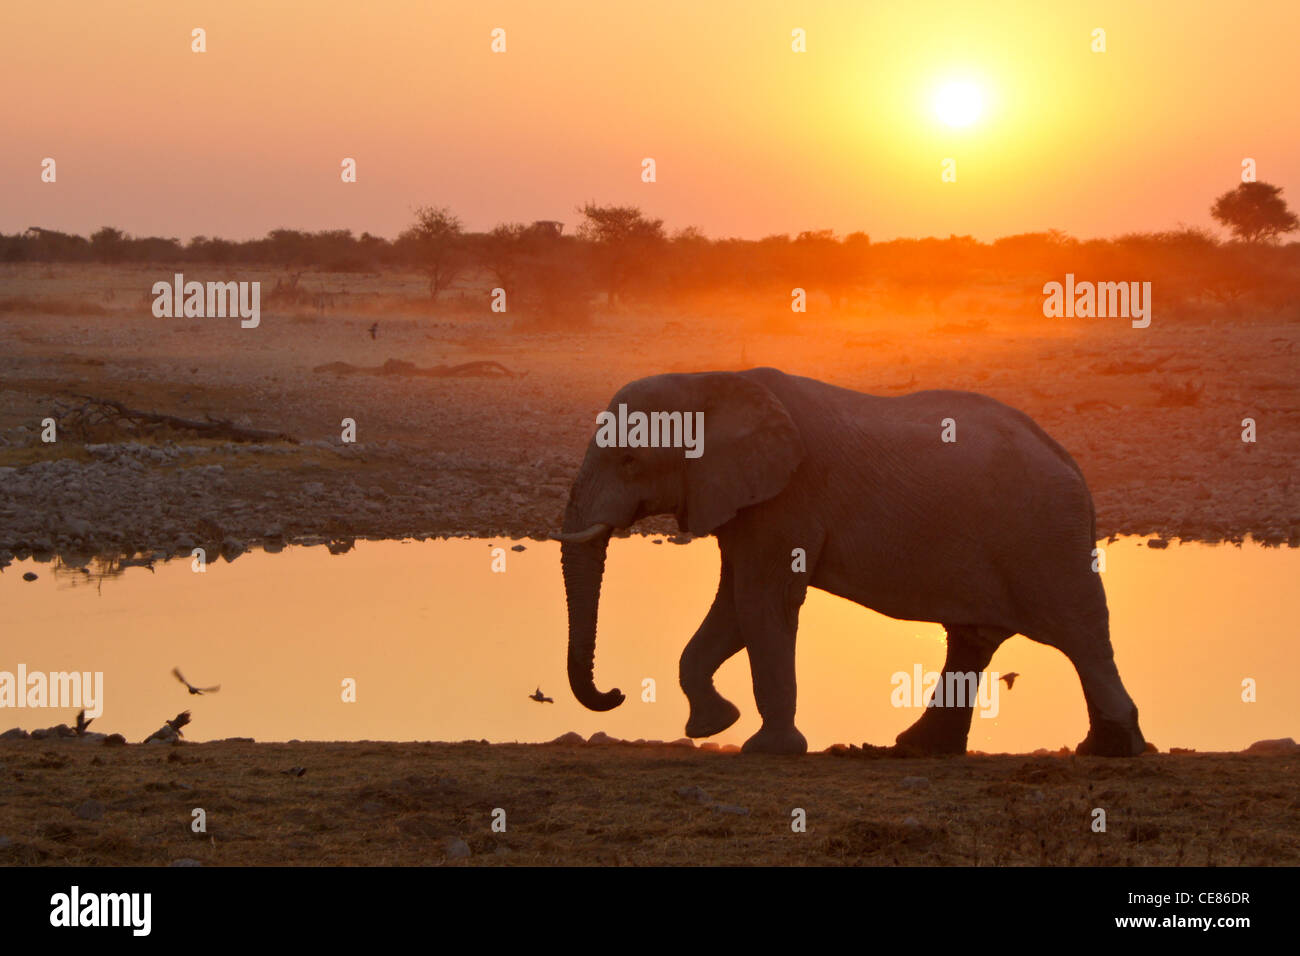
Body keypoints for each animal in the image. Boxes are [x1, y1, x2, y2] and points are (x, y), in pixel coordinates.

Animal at [556, 367, 1147, 757]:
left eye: (630, 460)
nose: (615, 692)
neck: (710, 381)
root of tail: (1073, 465)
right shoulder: (745, 498)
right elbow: (735, 604)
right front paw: (712, 725)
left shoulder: (788, 496)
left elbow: (761, 601)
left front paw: (767, 749)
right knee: (974, 638)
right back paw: (919, 748)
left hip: (1044, 538)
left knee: (1081, 634)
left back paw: (1116, 748)